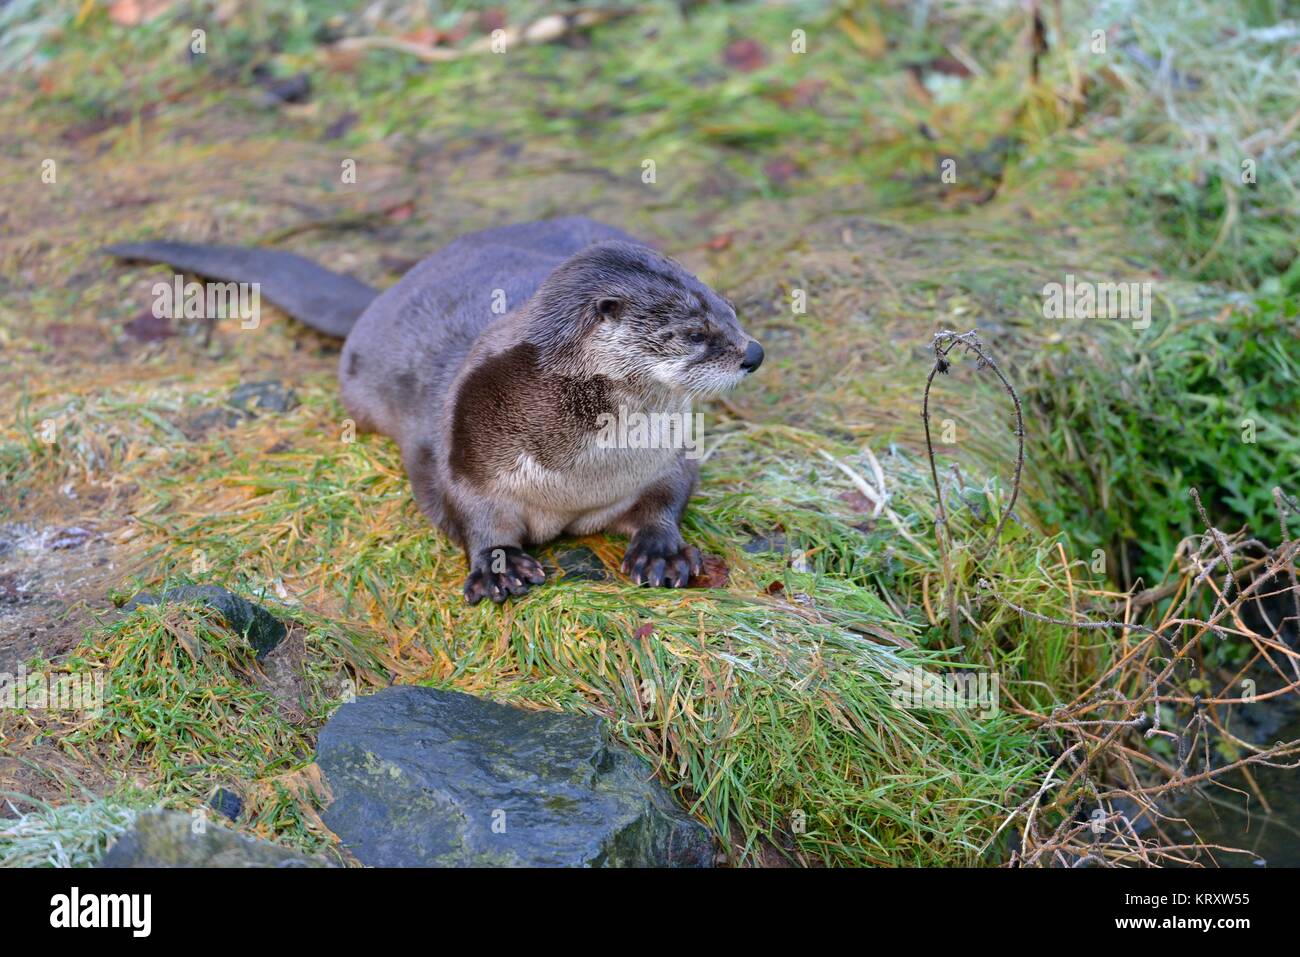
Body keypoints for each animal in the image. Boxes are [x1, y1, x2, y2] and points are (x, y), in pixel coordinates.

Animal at [107, 217, 763, 604]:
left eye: (730, 310)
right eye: (695, 333)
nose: (754, 353)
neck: (585, 473)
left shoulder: (669, 454)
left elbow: (669, 494)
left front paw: (662, 550)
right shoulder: (464, 452)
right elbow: (468, 511)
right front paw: (499, 566)